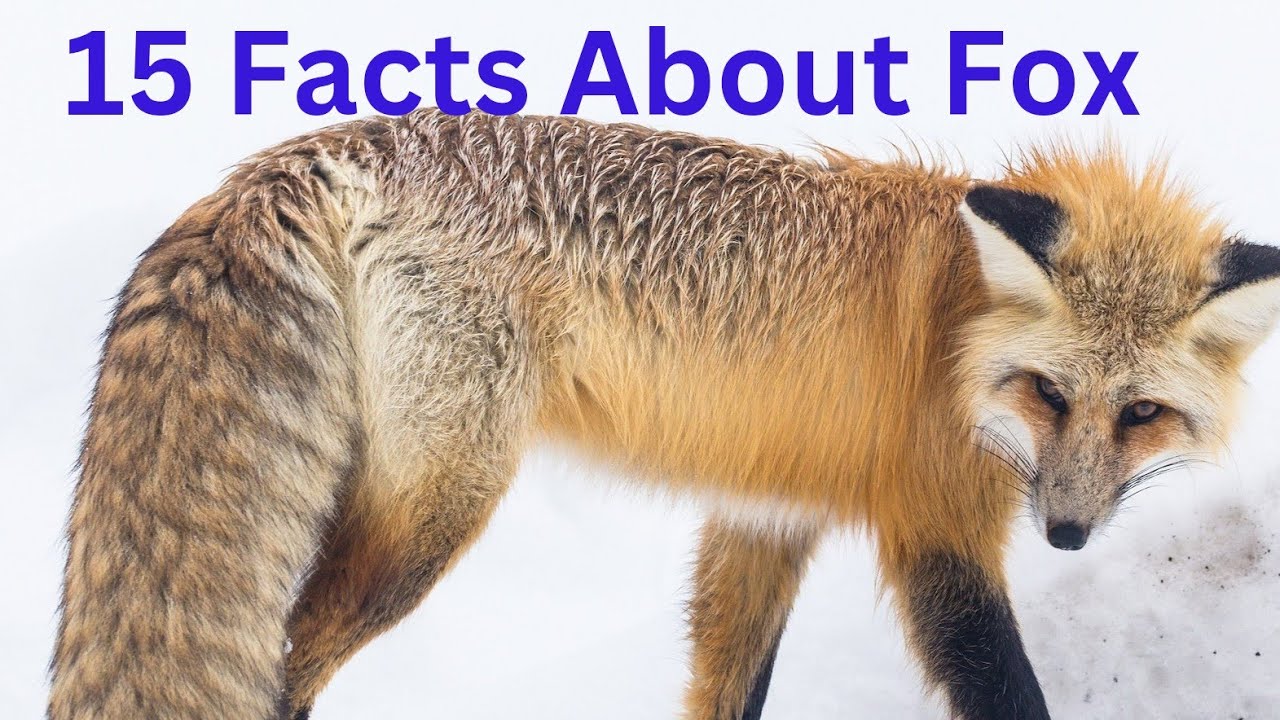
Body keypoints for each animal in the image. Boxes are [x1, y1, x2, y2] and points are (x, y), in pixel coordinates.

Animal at [48, 108, 1280, 720]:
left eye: (1142, 413)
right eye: (1051, 393)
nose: (1065, 534)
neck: (957, 331)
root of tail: (317, 148)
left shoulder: (768, 516)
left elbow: (727, 688)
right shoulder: (935, 529)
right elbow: (1004, 691)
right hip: (436, 512)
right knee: (289, 662)